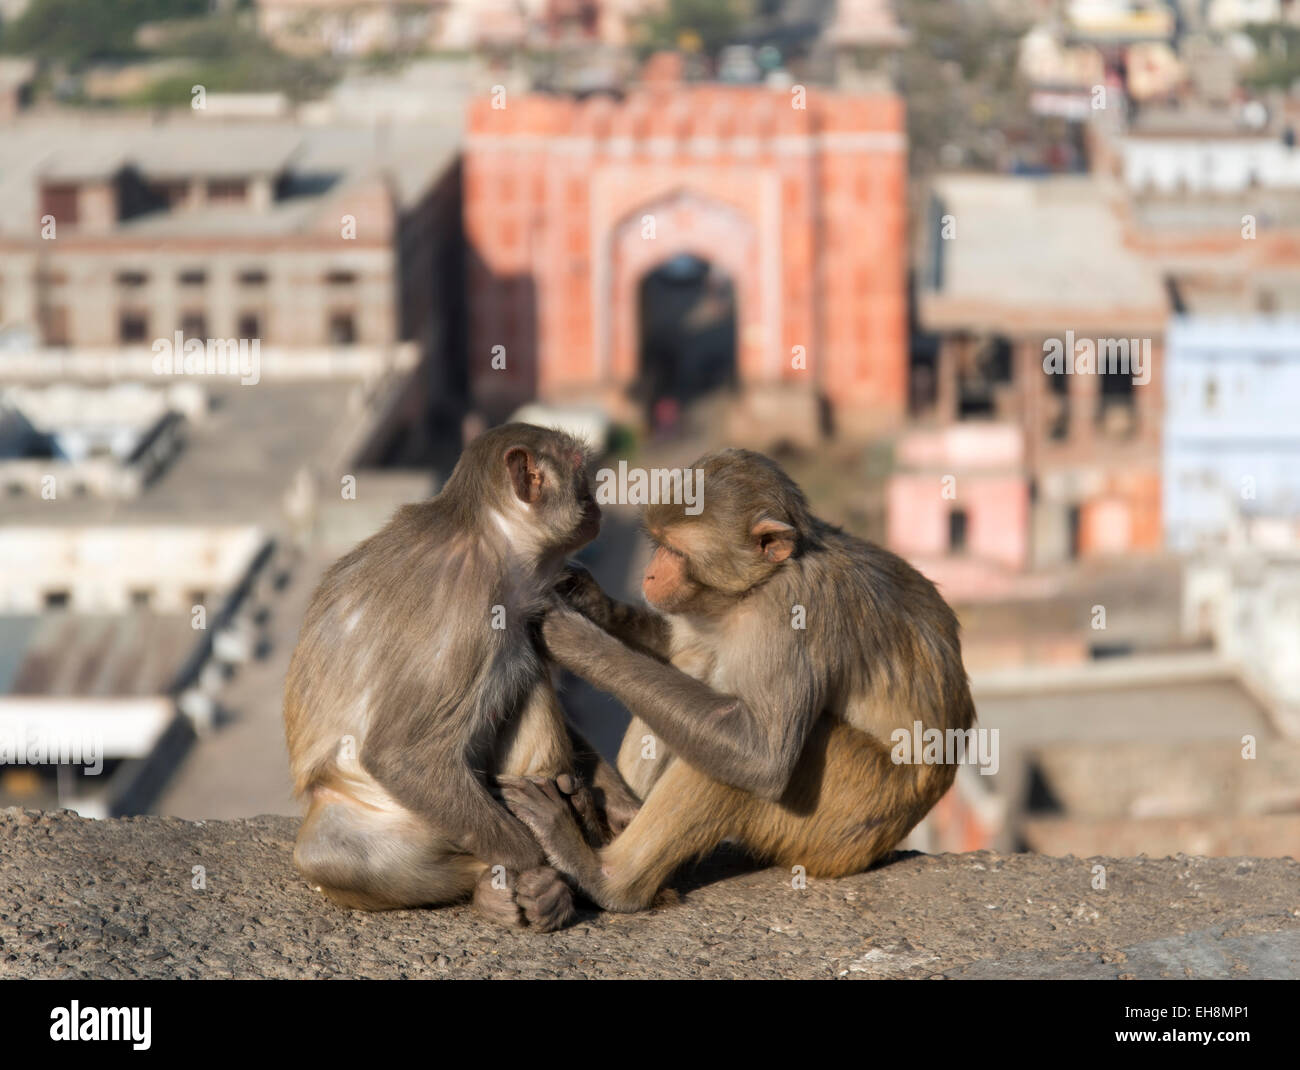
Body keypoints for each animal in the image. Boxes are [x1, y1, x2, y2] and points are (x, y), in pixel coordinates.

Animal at [283, 422, 640, 931]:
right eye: (579, 472)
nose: (596, 504)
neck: (492, 536)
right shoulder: (466, 606)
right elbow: (401, 756)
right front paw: (540, 864)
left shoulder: (534, 605)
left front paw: (616, 801)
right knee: (329, 855)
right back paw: (501, 886)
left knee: (527, 677)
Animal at [499, 447, 977, 913]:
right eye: (657, 545)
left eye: (675, 551)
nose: (650, 574)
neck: (759, 586)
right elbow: (679, 644)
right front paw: (592, 601)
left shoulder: (793, 609)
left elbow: (761, 755)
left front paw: (575, 639)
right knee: (695, 662)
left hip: (844, 813)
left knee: (740, 762)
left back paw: (607, 878)